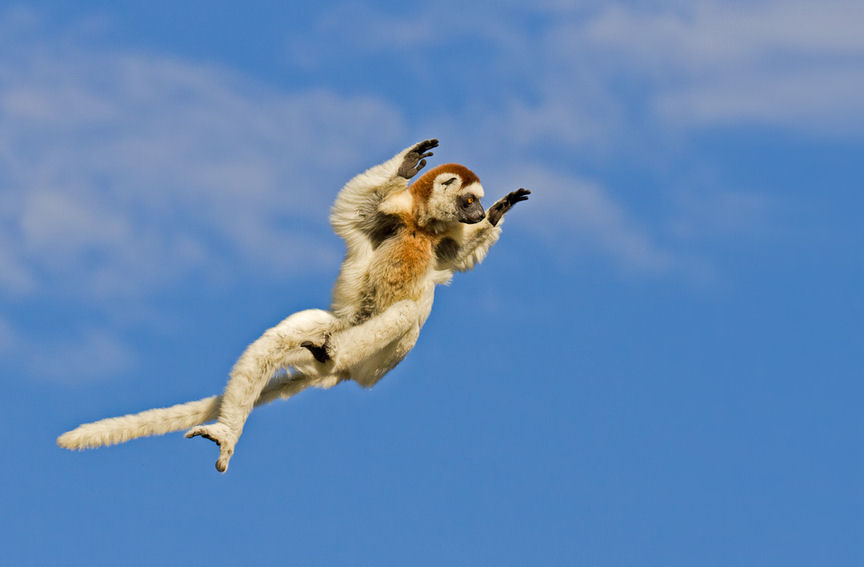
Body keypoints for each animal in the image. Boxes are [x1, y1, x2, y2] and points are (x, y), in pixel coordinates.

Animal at [57, 139, 530, 472]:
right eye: (470, 199)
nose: (481, 212)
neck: (423, 227)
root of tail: (341, 373)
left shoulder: (443, 243)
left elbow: (459, 259)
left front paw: (498, 215)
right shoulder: (391, 217)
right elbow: (352, 208)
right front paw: (407, 164)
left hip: (375, 365)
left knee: (404, 315)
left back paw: (328, 356)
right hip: (345, 327)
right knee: (282, 339)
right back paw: (231, 429)